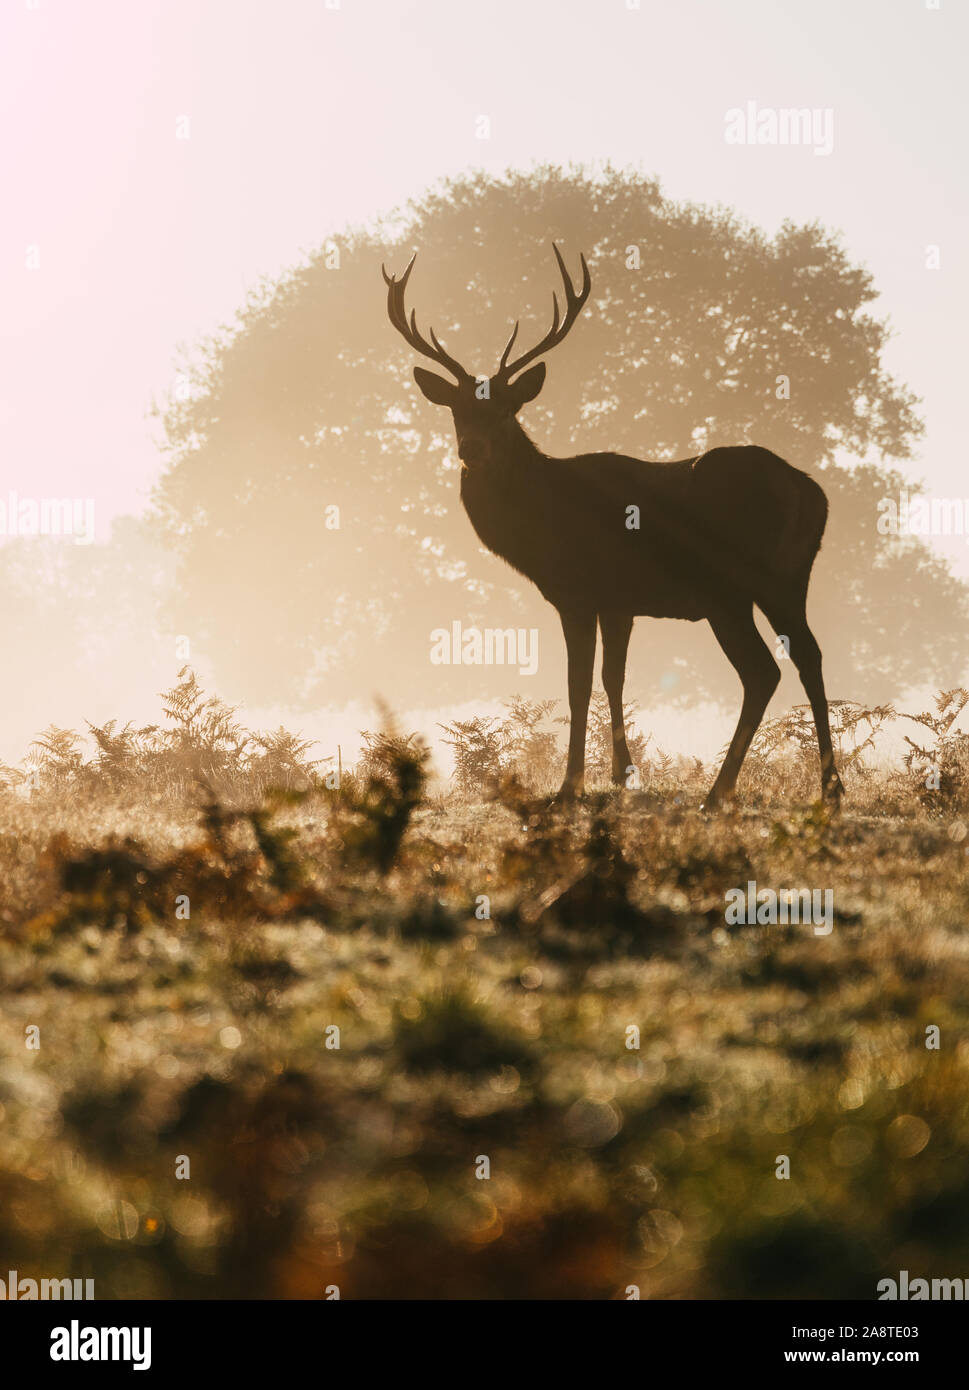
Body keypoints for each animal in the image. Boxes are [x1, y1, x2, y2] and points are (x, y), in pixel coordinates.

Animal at [382, 245, 844, 810]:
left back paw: (721, 792)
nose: (472, 449)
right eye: (457, 410)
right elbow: (614, 677)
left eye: (507, 409)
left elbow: (579, 682)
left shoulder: (577, 591)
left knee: (764, 670)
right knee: (807, 657)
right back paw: (829, 789)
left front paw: (570, 786)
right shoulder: (620, 601)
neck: (541, 524)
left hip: (731, 589)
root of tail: (813, 495)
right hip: (788, 579)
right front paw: (623, 775)